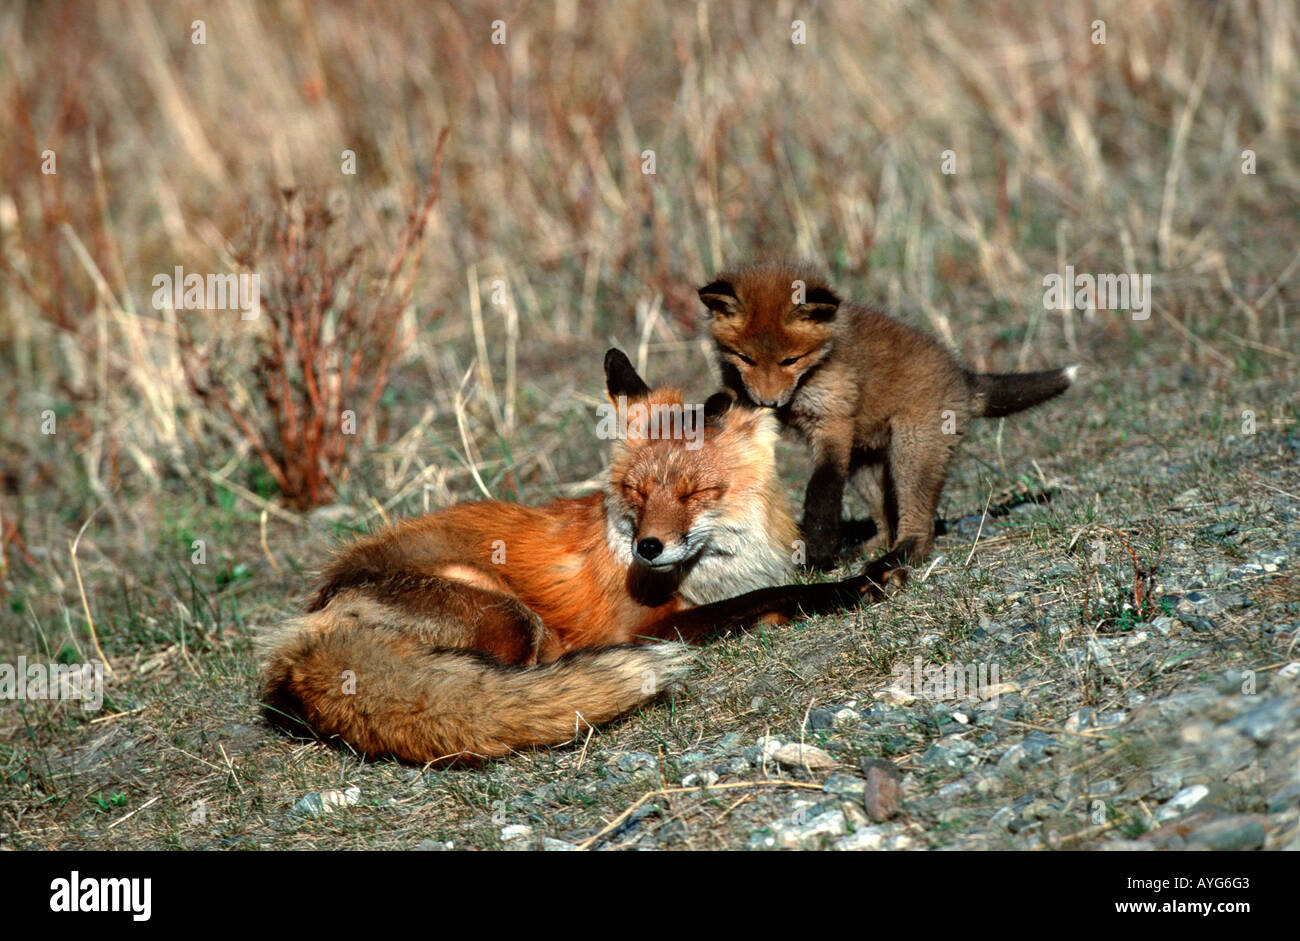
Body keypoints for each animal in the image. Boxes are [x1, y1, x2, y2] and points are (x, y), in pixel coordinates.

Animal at [259, 349, 905, 765]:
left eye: (694, 493)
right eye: (635, 494)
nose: (648, 547)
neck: (721, 568)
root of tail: (303, 636)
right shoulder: (650, 625)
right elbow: (776, 594)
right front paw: (852, 586)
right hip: (509, 617)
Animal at [699, 261, 1077, 569]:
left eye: (789, 360)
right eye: (745, 358)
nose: (769, 402)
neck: (815, 372)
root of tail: (963, 377)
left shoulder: (833, 423)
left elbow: (821, 489)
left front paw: (817, 551)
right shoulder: (738, 389)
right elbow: (718, 400)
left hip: (911, 454)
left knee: (919, 527)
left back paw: (899, 556)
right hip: (865, 466)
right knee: (886, 523)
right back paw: (866, 550)